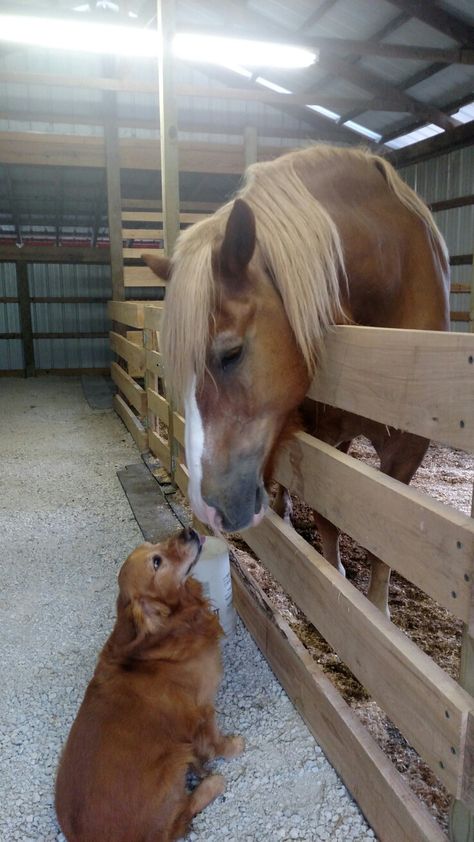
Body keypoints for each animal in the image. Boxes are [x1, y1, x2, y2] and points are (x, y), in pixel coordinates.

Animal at [54, 528, 244, 836]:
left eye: (153, 546)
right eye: (157, 562)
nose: (189, 531)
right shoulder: (203, 707)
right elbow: (214, 739)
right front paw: (231, 747)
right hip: (173, 759)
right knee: (181, 816)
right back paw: (212, 783)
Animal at [143, 144, 448, 612]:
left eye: (230, 353)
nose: (207, 509)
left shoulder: (408, 446)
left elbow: (385, 543)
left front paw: (376, 606)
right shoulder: (326, 435)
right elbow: (327, 515)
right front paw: (335, 579)